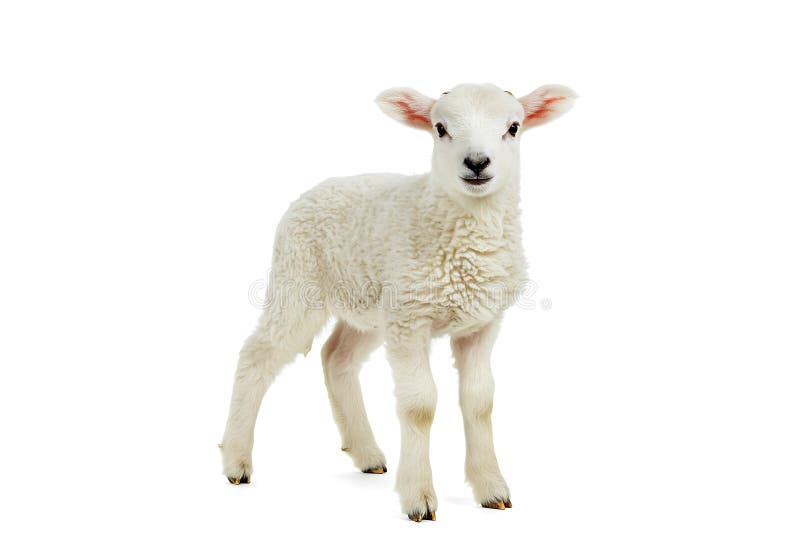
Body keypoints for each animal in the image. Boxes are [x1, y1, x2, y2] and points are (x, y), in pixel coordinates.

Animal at [220, 83, 576, 521]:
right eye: (440, 128)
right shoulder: (411, 319)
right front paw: (418, 496)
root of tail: (318, 188)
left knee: (336, 357)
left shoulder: (481, 323)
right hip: (298, 281)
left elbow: (480, 402)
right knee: (257, 355)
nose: (477, 162)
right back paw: (236, 460)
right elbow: (419, 406)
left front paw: (492, 488)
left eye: (514, 127)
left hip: (370, 306)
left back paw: (366, 453)